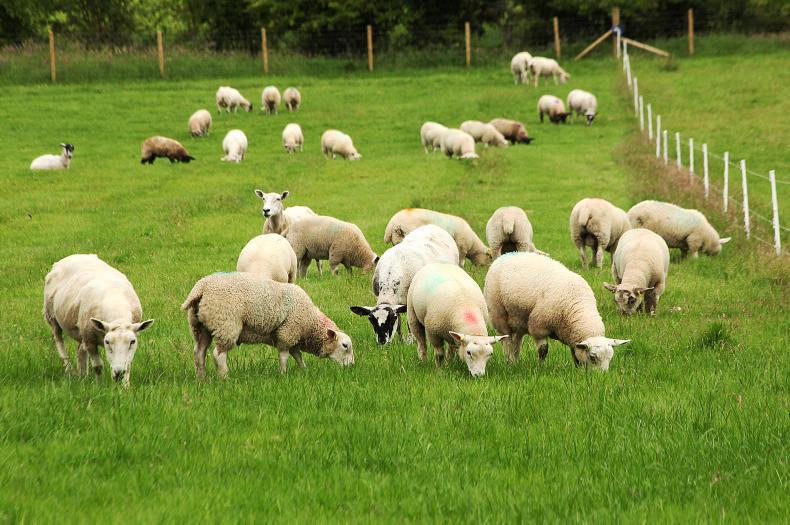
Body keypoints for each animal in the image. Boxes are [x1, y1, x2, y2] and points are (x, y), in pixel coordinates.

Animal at [43, 254, 154, 386]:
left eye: (132, 341)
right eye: (107, 342)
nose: (118, 373)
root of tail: (75, 255)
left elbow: (128, 365)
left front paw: (125, 386)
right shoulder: (90, 341)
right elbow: (98, 366)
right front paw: (99, 386)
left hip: (81, 329)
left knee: (80, 350)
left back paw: (82, 376)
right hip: (51, 316)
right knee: (59, 341)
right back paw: (70, 370)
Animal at [182, 272, 353, 377]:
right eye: (345, 345)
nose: (352, 366)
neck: (310, 322)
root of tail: (201, 287)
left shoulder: (293, 337)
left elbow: (297, 355)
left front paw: (304, 370)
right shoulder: (288, 332)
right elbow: (284, 356)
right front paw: (283, 374)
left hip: (200, 326)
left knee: (199, 353)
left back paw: (201, 378)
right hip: (226, 324)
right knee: (218, 354)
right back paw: (225, 377)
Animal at [484, 252, 629, 370]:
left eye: (610, 358)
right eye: (593, 357)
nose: (602, 376)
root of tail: (504, 256)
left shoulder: (572, 334)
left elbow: (575, 353)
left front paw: (578, 369)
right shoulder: (538, 327)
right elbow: (543, 351)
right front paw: (540, 367)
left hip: (518, 319)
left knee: (516, 342)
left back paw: (515, 362)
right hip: (499, 315)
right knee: (507, 341)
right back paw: (509, 362)